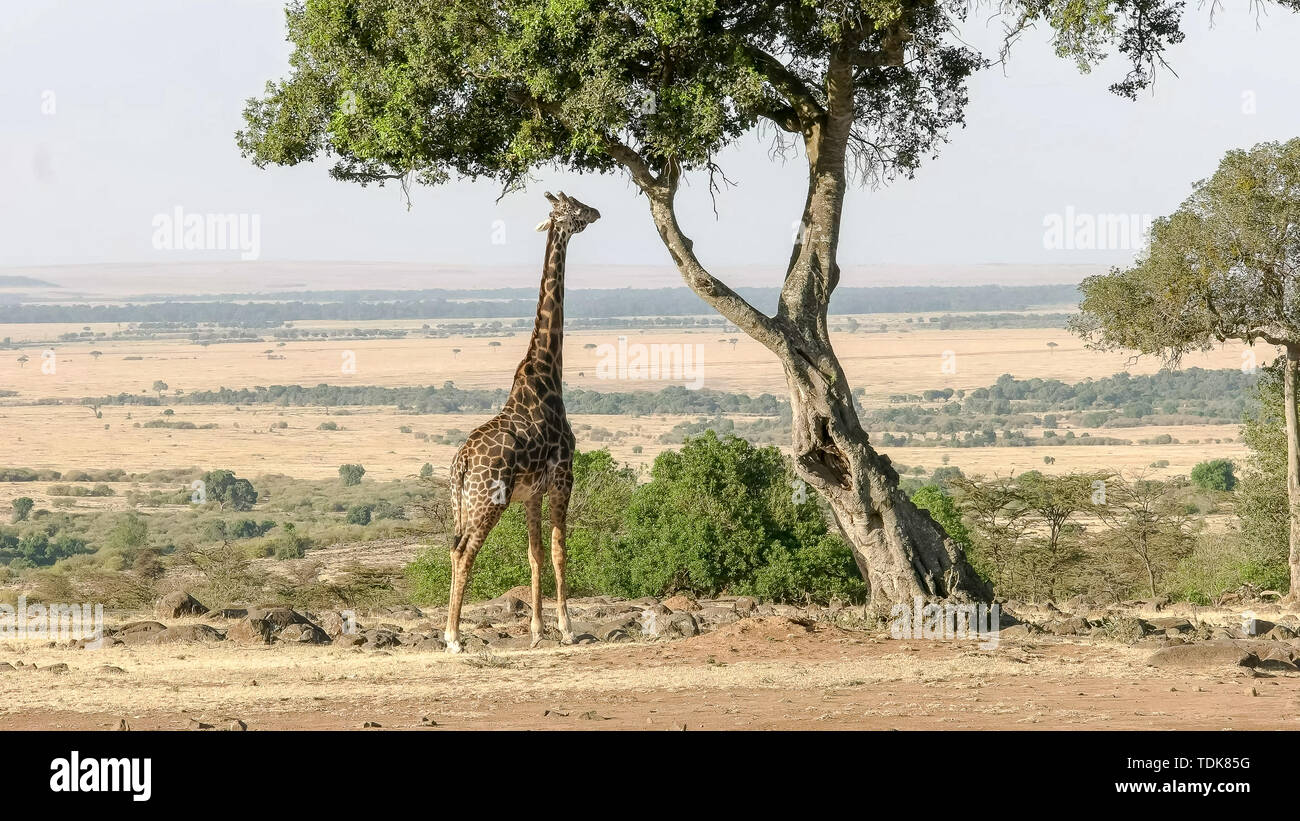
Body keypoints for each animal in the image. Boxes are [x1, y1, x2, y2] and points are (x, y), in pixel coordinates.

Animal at [443, 191, 600, 653]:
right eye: (575, 208)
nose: (597, 212)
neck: (548, 372)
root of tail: (461, 464)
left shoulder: (532, 492)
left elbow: (534, 554)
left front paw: (536, 630)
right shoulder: (564, 477)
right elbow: (559, 550)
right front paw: (566, 629)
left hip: (462, 502)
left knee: (453, 545)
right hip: (488, 500)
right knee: (464, 551)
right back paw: (453, 637)